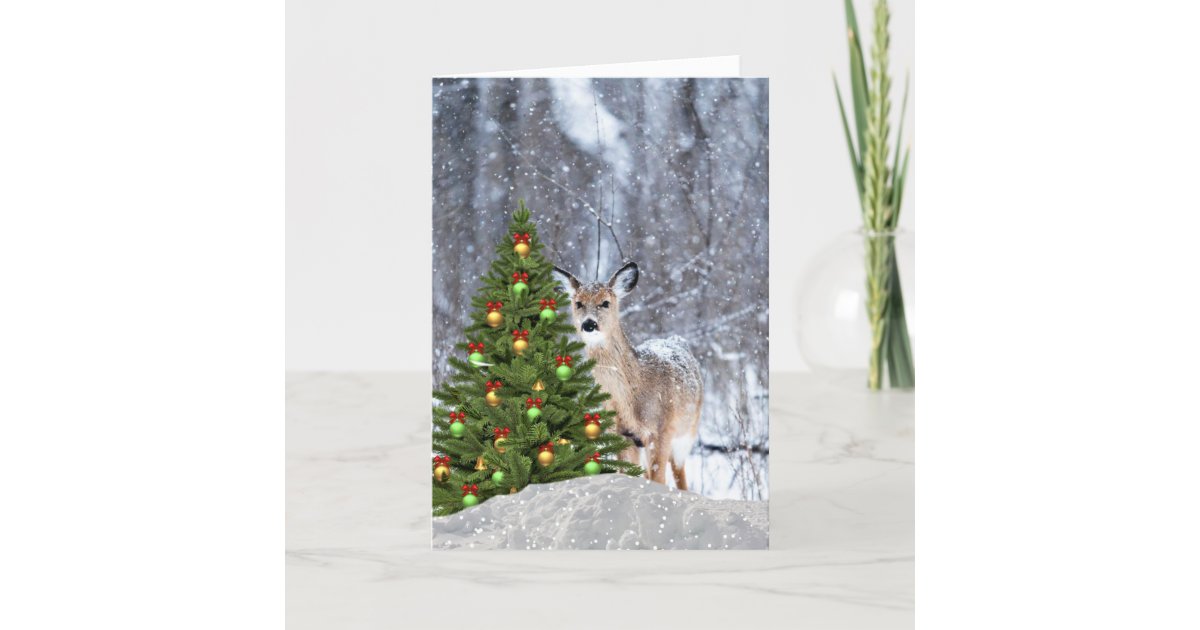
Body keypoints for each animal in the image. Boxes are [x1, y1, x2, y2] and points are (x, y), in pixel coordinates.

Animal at [552, 262, 703, 491]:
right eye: (578, 303)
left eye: (605, 302)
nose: (589, 324)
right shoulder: (622, 434)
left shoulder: (662, 429)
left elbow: (658, 478)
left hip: (687, 431)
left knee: (679, 473)